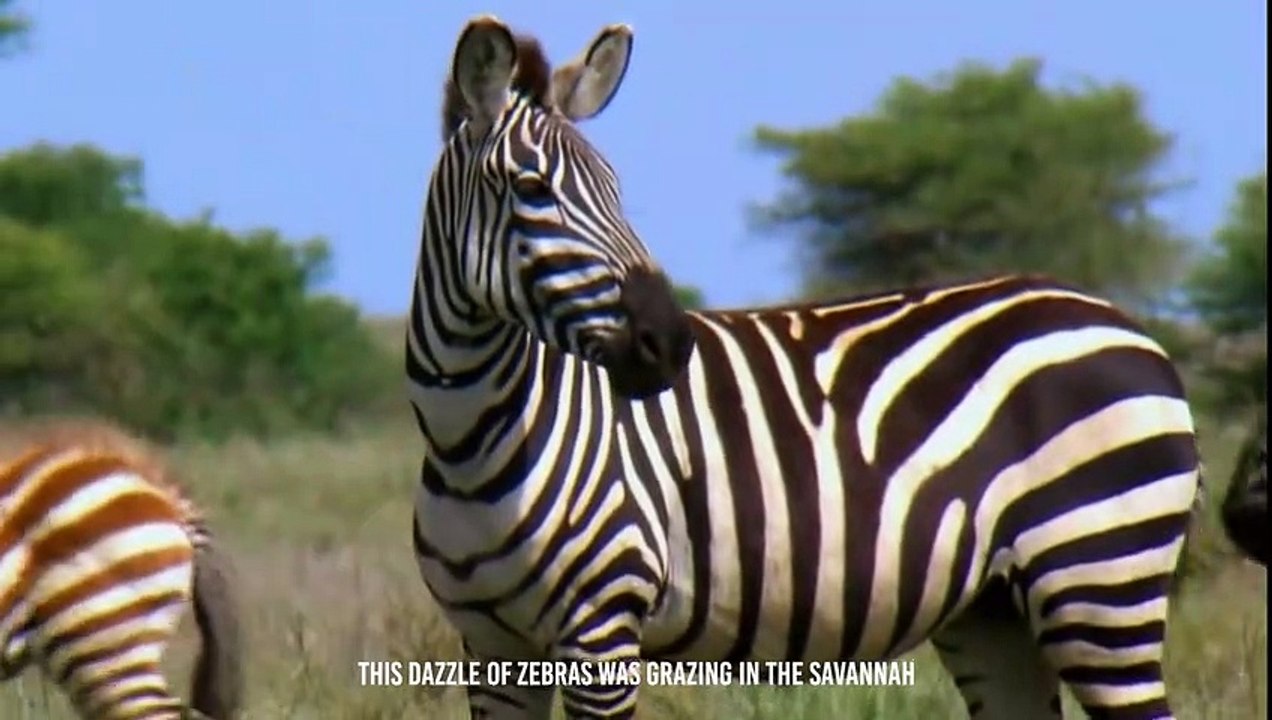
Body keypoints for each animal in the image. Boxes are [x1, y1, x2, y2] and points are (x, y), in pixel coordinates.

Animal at [407, 15, 1204, 720]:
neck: (473, 437)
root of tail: (1131, 326)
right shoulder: (493, 649)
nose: (669, 342)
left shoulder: (602, 623)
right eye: (533, 189)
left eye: (615, 189)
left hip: (1098, 579)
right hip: (996, 612)